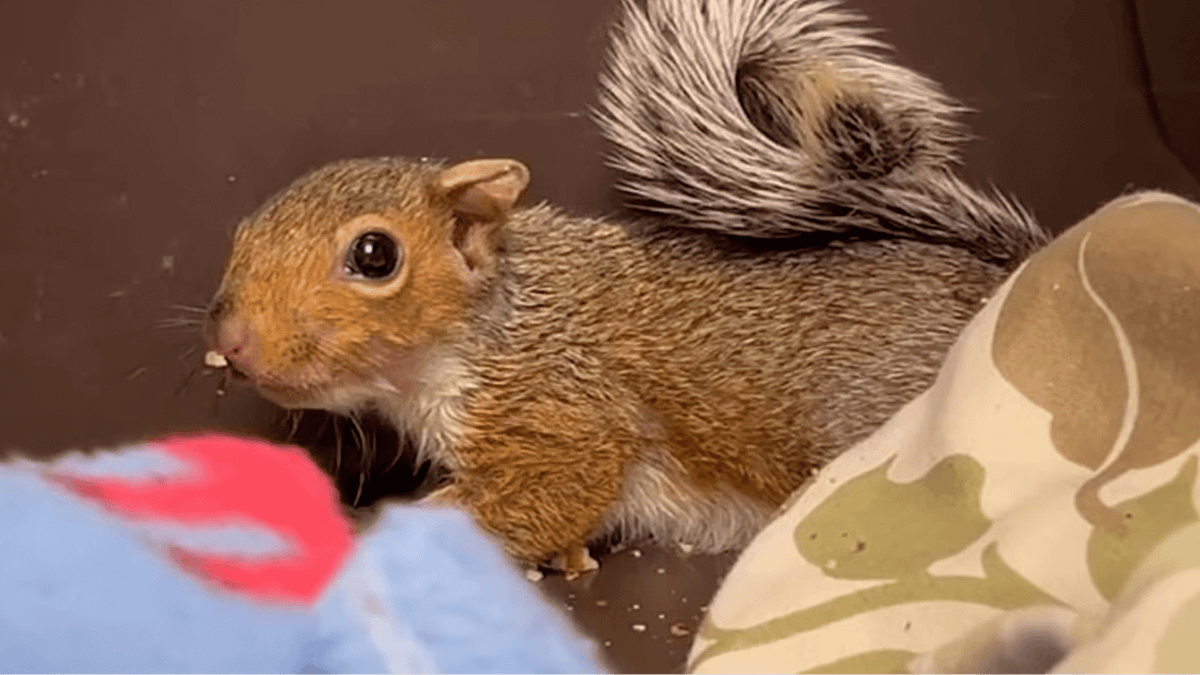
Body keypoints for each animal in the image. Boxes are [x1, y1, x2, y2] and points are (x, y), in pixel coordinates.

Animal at [203, 0, 1049, 575]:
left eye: (375, 255)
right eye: (239, 236)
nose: (233, 343)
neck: (493, 326)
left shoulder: (569, 410)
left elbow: (541, 496)